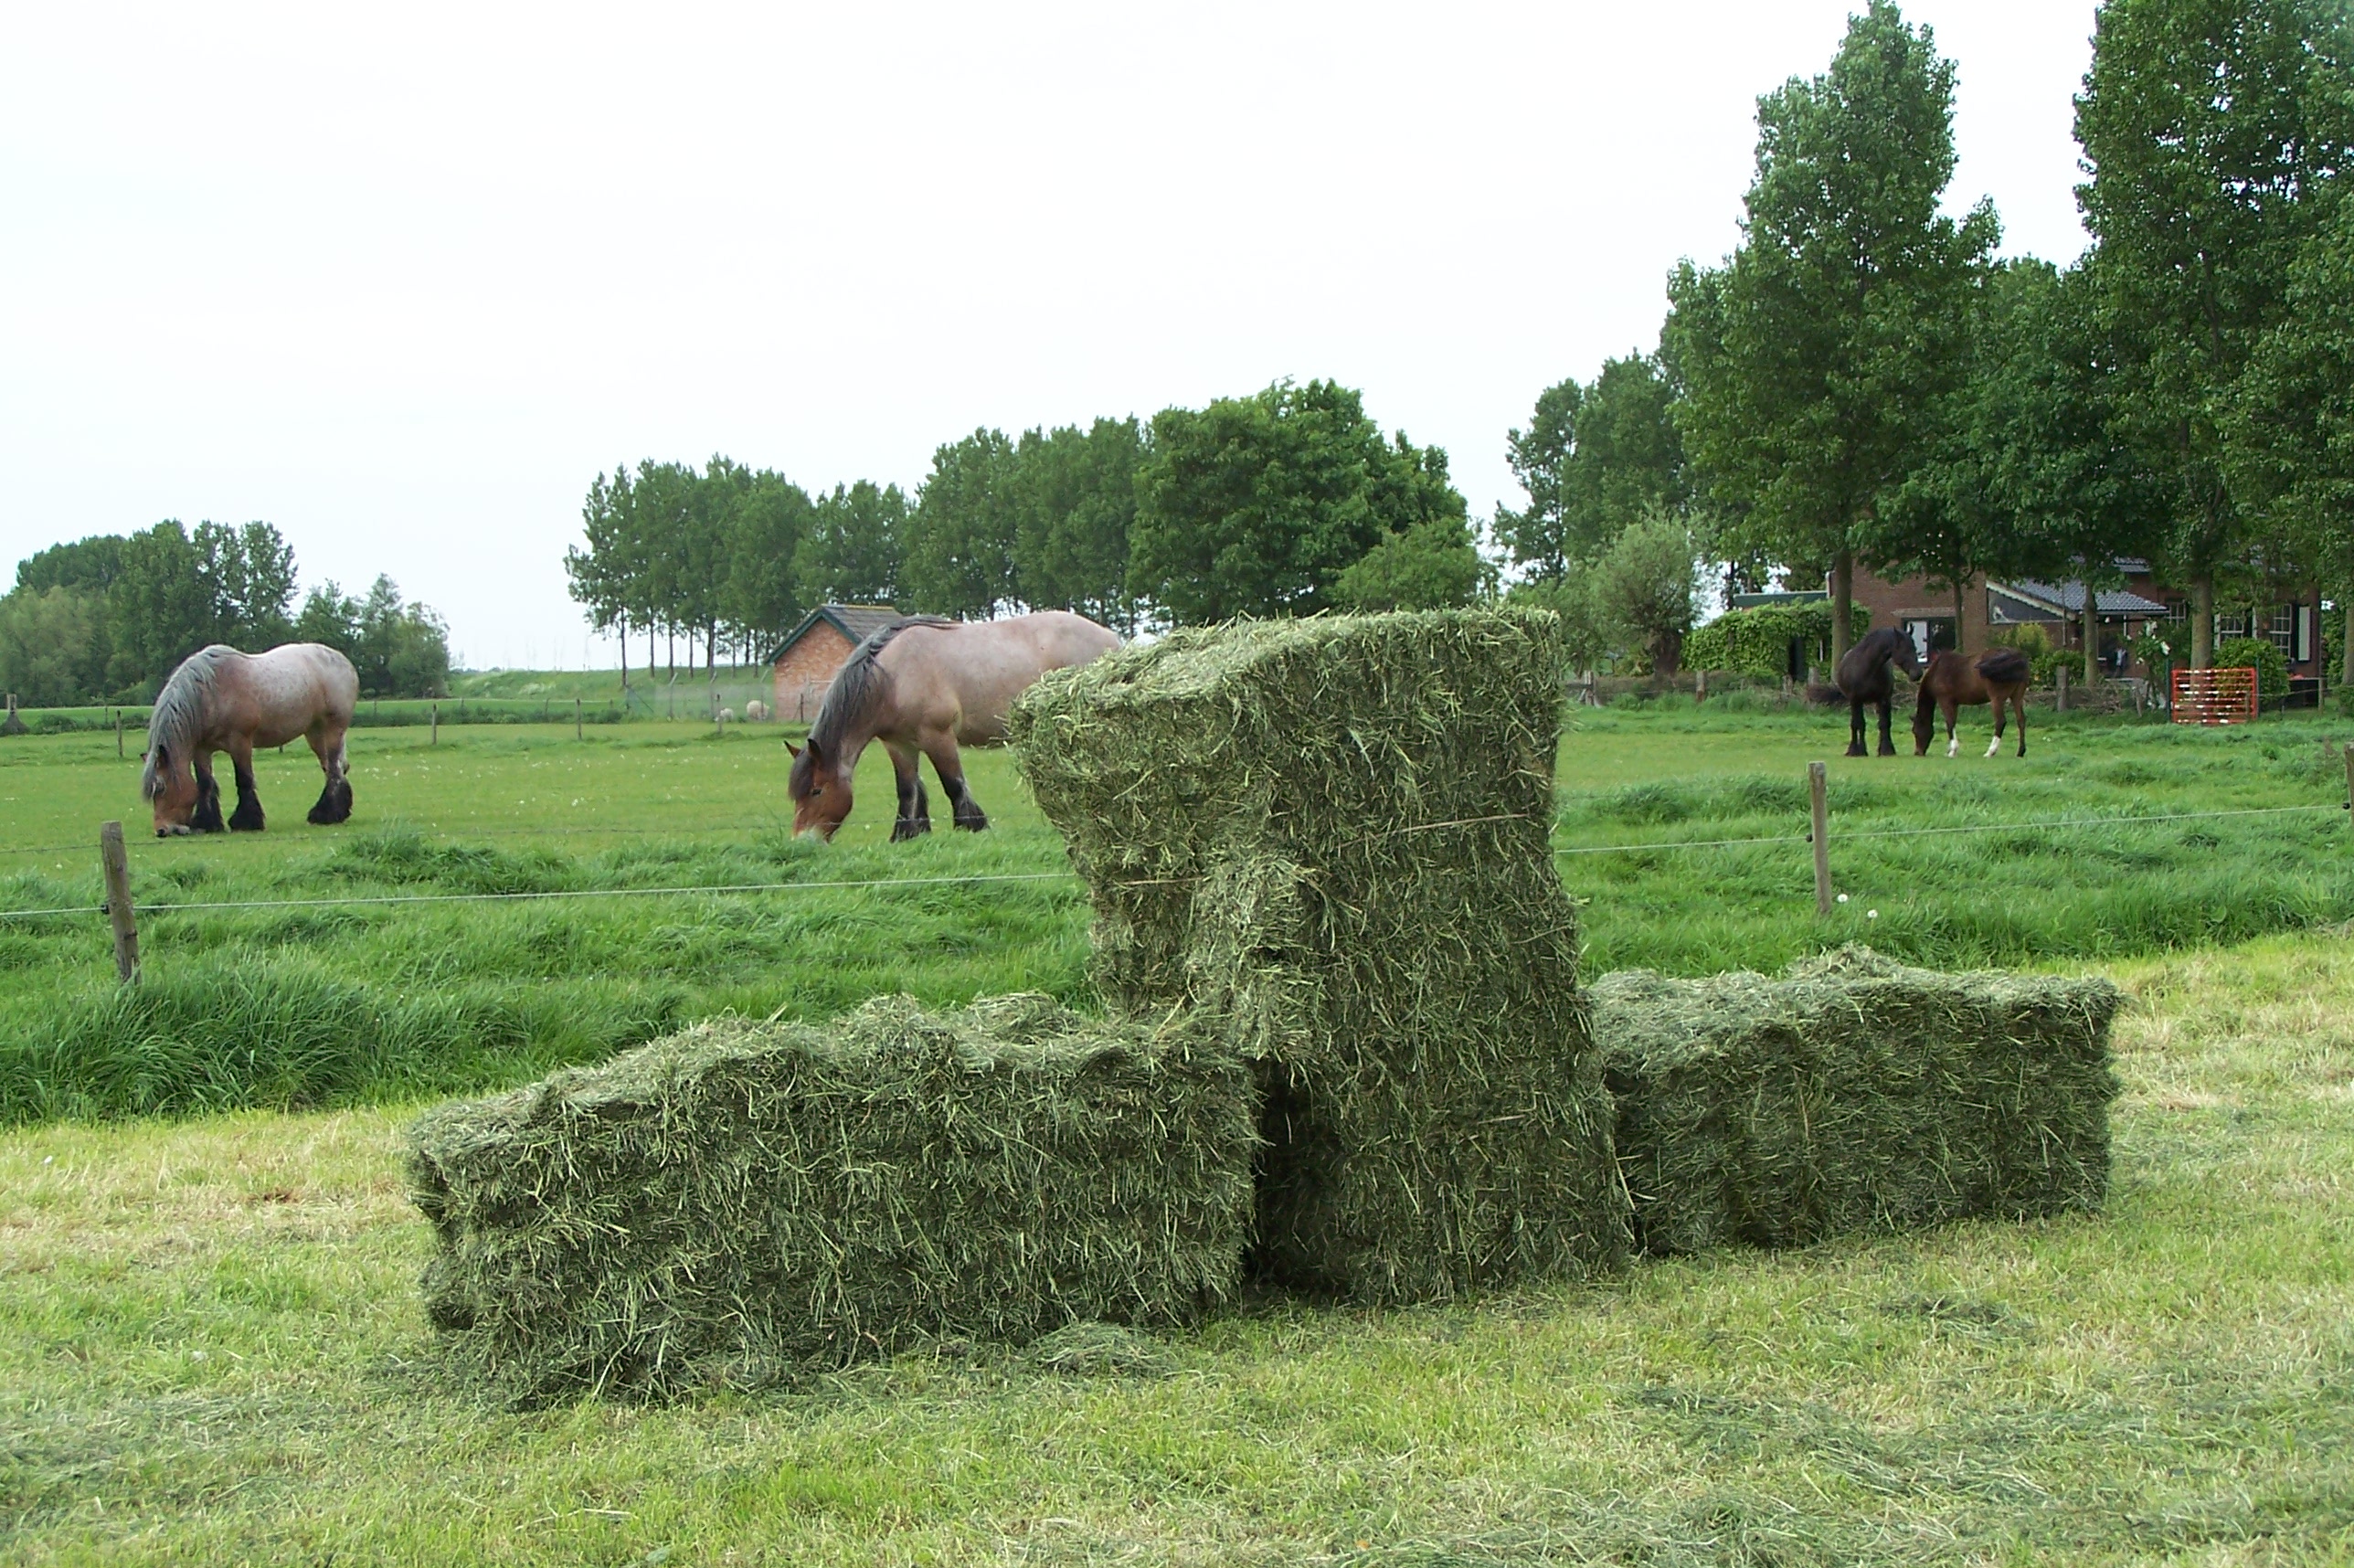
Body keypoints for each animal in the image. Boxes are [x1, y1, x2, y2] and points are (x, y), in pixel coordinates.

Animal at [142, 643, 359, 836]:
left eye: (160, 788)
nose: (161, 830)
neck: (211, 693)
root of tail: (344, 662)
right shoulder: (202, 750)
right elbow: (204, 783)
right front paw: (207, 823)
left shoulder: (240, 742)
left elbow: (244, 779)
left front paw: (246, 821)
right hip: (315, 733)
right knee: (332, 768)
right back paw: (334, 812)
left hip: (333, 730)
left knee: (334, 770)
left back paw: (327, 815)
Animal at [787, 611, 1120, 840]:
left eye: (816, 791)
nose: (803, 841)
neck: (892, 678)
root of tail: (1110, 637)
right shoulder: (899, 745)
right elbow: (907, 790)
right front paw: (906, 835)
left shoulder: (939, 737)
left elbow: (954, 785)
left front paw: (972, 827)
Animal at [1835, 626, 1923, 757]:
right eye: (1904, 649)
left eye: (1915, 648)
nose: (1918, 674)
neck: (1868, 668)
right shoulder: (1855, 700)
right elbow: (1858, 724)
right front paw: (1856, 750)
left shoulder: (1883, 699)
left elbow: (1884, 723)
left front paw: (1886, 750)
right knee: (1858, 724)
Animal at [1913, 646, 2032, 759]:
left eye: (1915, 730)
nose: (1917, 752)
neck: (1937, 671)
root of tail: (2015, 657)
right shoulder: (1954, 703)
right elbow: (1952, 722)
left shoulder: (1945, 701)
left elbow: (1950, 723)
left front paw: (1952, 751)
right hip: (2017, 697)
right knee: (2021, 720)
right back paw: (2020, 752)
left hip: (1997, 700)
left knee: (2000, 721)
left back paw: (1990, 752)